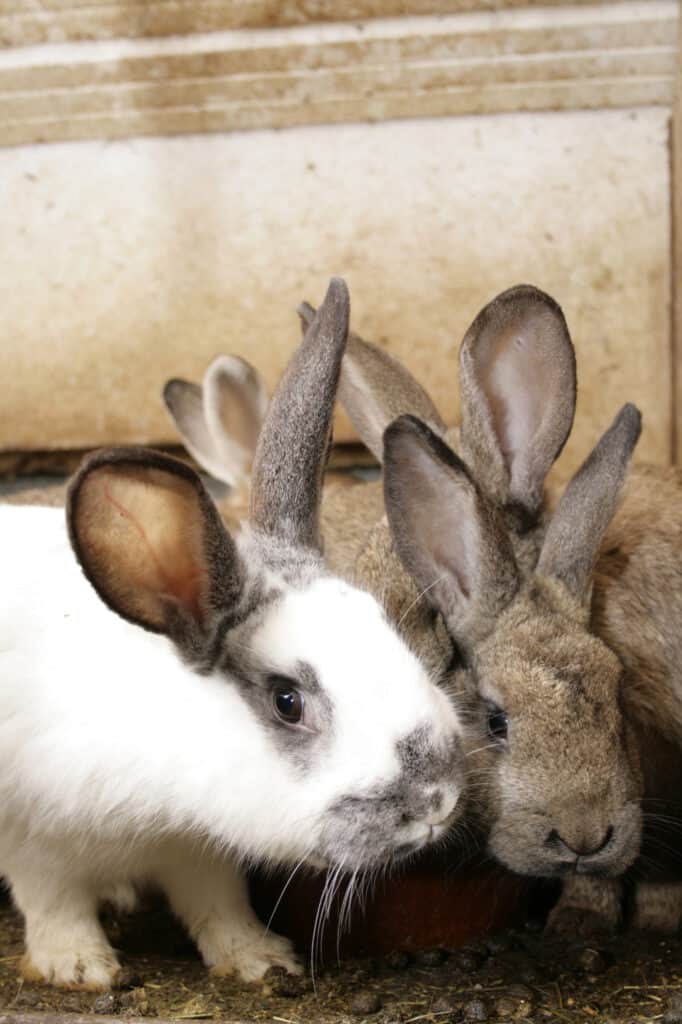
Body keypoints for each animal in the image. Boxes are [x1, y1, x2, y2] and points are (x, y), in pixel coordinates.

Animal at [0, 278, 466, 991]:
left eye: (382, 623)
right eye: (287, 702)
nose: (439, 800)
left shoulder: (196, 849)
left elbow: (217, 903)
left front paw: (260, 959)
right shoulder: (36, 837)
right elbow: (54, 902)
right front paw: (81, 967)